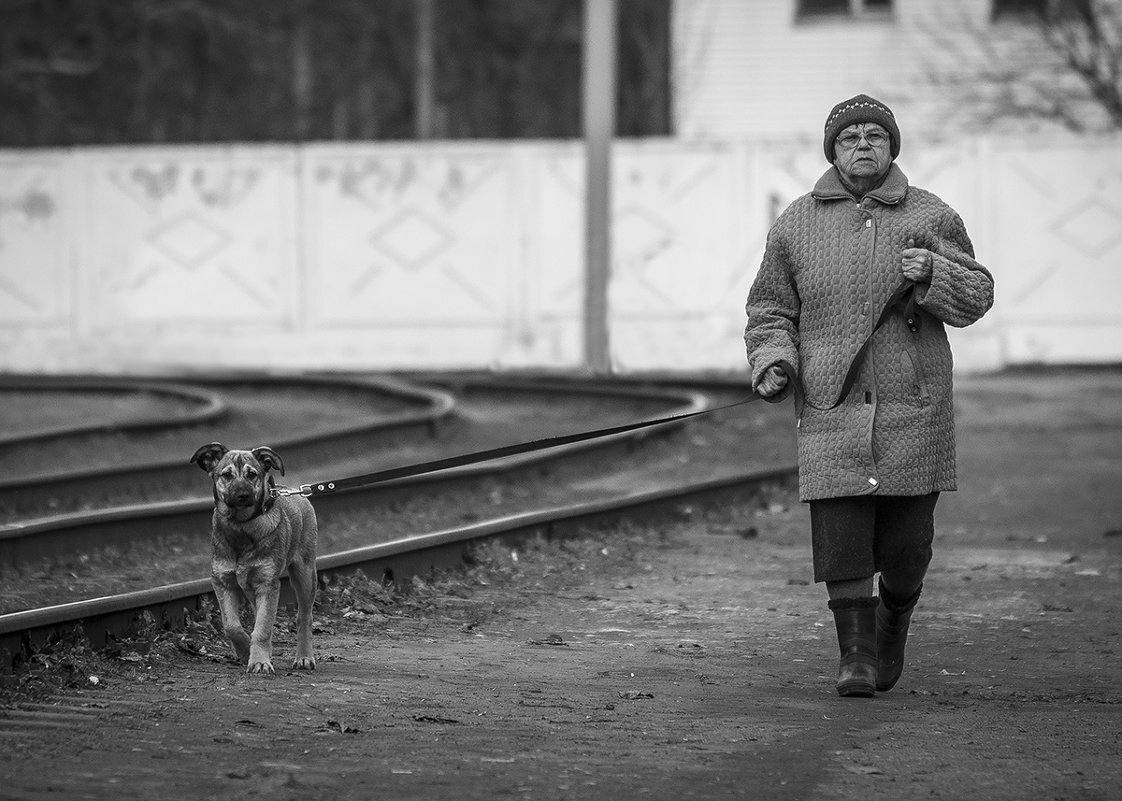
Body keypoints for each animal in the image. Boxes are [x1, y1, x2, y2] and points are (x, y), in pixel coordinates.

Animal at [190, 439, 318, 668]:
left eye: (252, 474)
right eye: (227, 475)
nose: (243, 496)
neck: (240, 527)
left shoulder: (268, 584)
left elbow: (263, 628)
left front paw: (259, 661)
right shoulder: (222, 581)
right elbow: (231, 626)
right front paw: (245, 651)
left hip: (305, 573)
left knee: (304, 617)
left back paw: (304, 657)